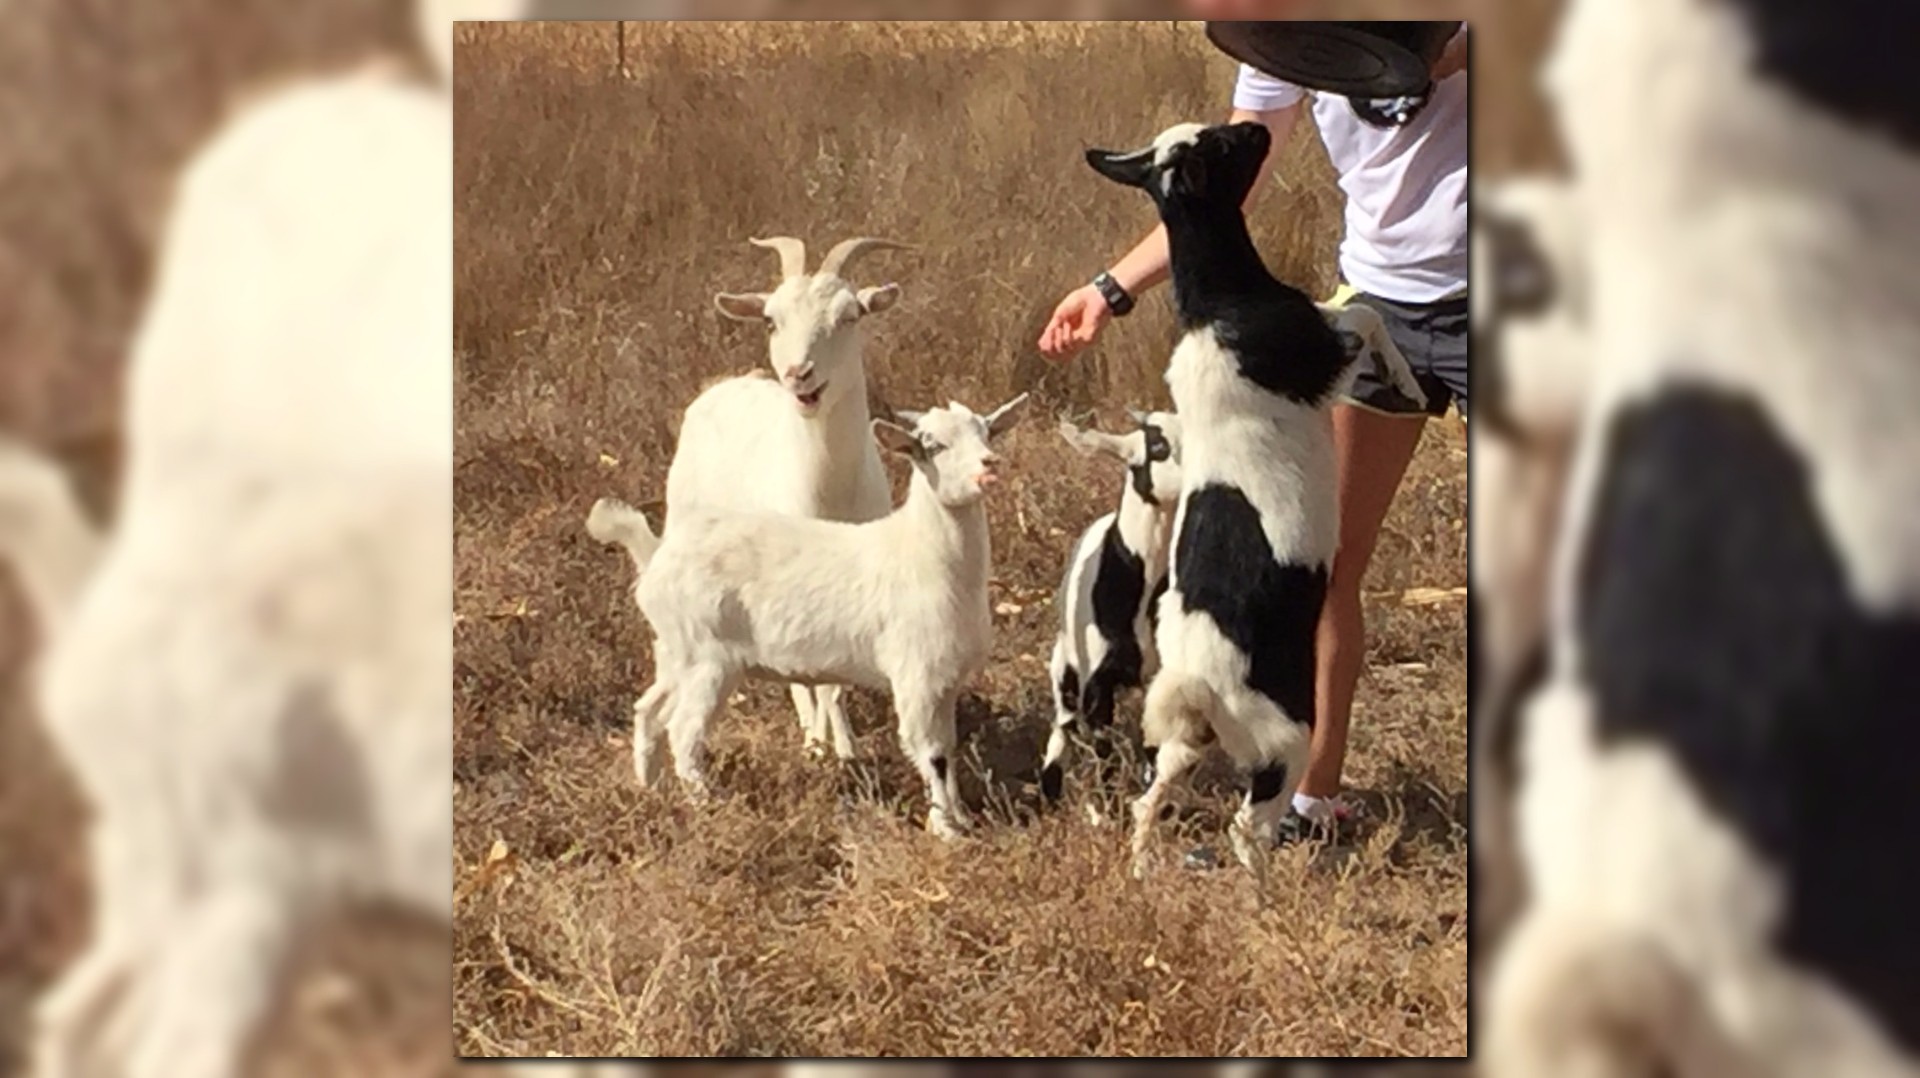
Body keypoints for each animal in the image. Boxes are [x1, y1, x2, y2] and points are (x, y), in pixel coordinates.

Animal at [591, 393, 1029, 839]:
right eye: (934, 446)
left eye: (987, 432)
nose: (989, 465)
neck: (920, 553)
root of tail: (655, 557)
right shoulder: (915, 676)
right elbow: (933, 753)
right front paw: (947, 830)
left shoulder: (946, 681)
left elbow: (949, 749)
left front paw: (959, 816)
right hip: (707, 659)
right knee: (683, 732)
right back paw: (707, 807)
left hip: (675, 651)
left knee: (649, 711)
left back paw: (651, 790)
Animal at [656, 233, 908, 763]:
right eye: (771, 320)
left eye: (851, 315)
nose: (799, 373)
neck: (829, 492)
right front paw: (820, 744)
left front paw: (844, 746)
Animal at [1040, 410, 1182, 811]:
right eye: (1159, 445)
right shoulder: (1095, 682)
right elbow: (1101, 747)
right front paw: (1102, 810)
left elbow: (1153, 745)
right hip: (1064, 669)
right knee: (1064, 726)